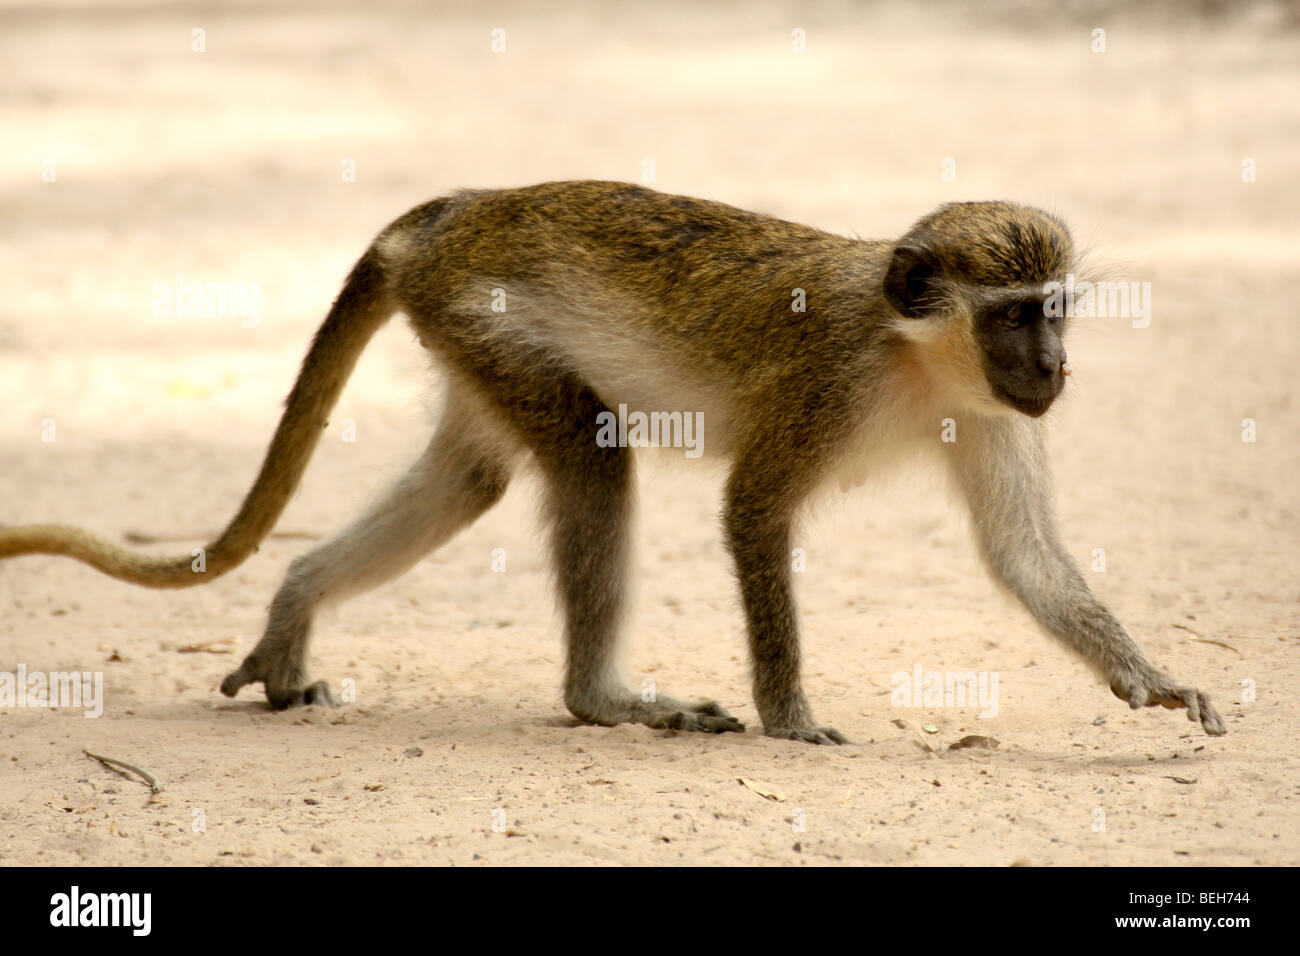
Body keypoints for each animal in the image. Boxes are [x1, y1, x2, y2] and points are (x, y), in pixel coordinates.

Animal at [0, 181, 1226, 743]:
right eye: (1015, 313)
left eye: (1054, 309)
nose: (1057, 365)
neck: (915, 356)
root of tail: (453, 214)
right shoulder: (825, 382)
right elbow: (750, 510)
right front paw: (790, 715)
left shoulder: (999, 415)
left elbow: (1023, 556)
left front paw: (1149, 680)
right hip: (490, 319)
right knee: (591, 464)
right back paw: (602, 700)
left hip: (470, 337)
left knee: (474, 479)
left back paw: (296, 603)